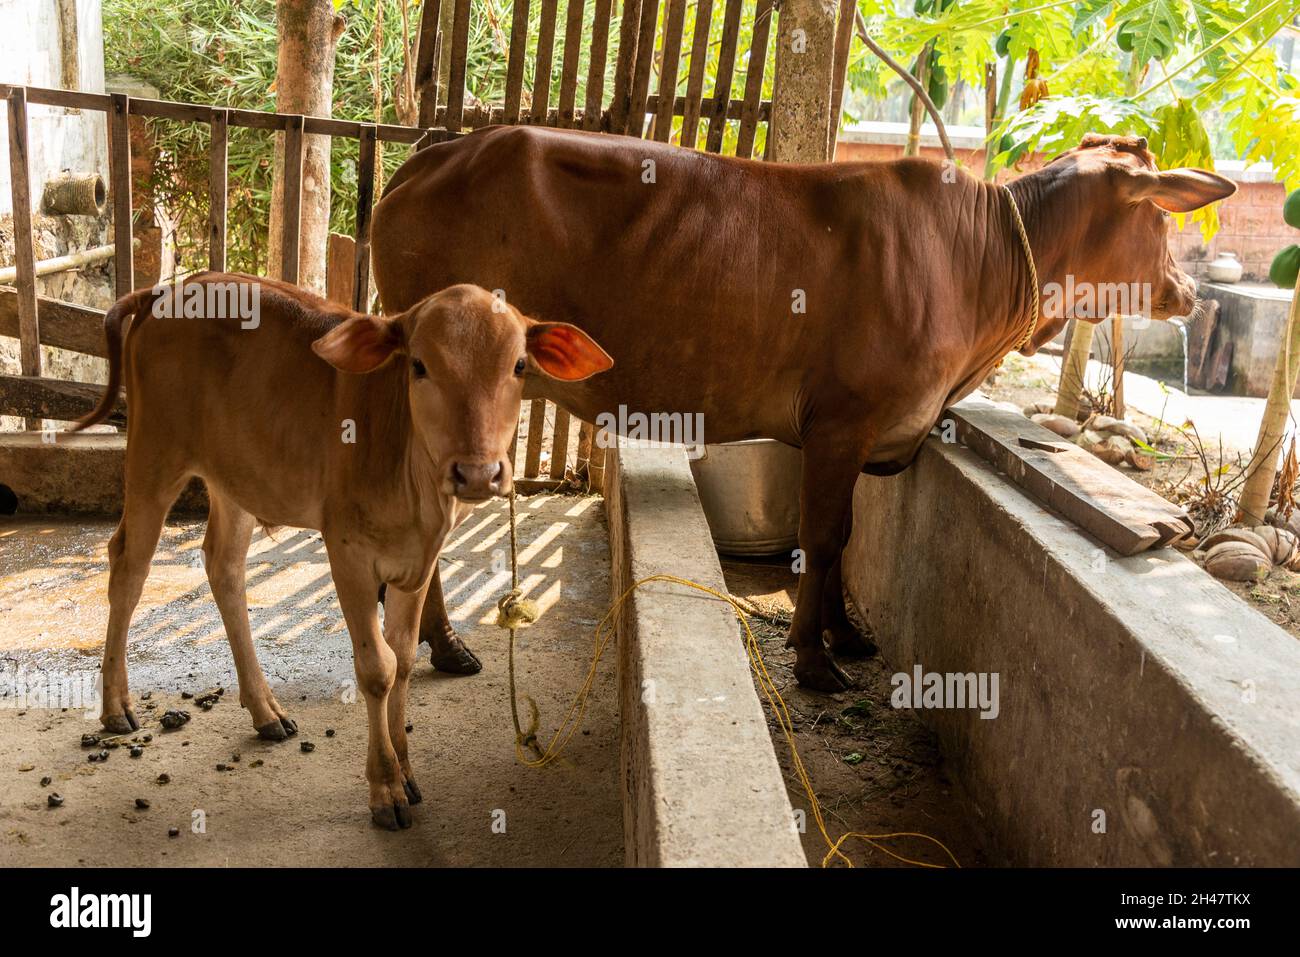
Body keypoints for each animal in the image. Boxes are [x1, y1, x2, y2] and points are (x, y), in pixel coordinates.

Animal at [72, 275, 613, 828]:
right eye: (419, 365)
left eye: (519, 366)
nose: (478, 472)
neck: (415, 489)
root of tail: (168, 289)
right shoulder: (347, 551)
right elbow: (377, 668)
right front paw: (386, 788)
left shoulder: (420, 562)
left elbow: (403, 658)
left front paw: (406, 769)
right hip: (154, 453)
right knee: (128, 565)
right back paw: (115, 705)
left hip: (238, 478)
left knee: (223, 565)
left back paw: (266, 710)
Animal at [370, 128, 1235, 693]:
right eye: (1163, 214)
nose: (1189, 290)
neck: (979, 267)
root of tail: (428, 155)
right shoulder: (842, 422)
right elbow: (821, 538)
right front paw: (816, 661)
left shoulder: (869, 432)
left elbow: (845, 535)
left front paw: (848, 635)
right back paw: (444, 647)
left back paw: (440, 643)